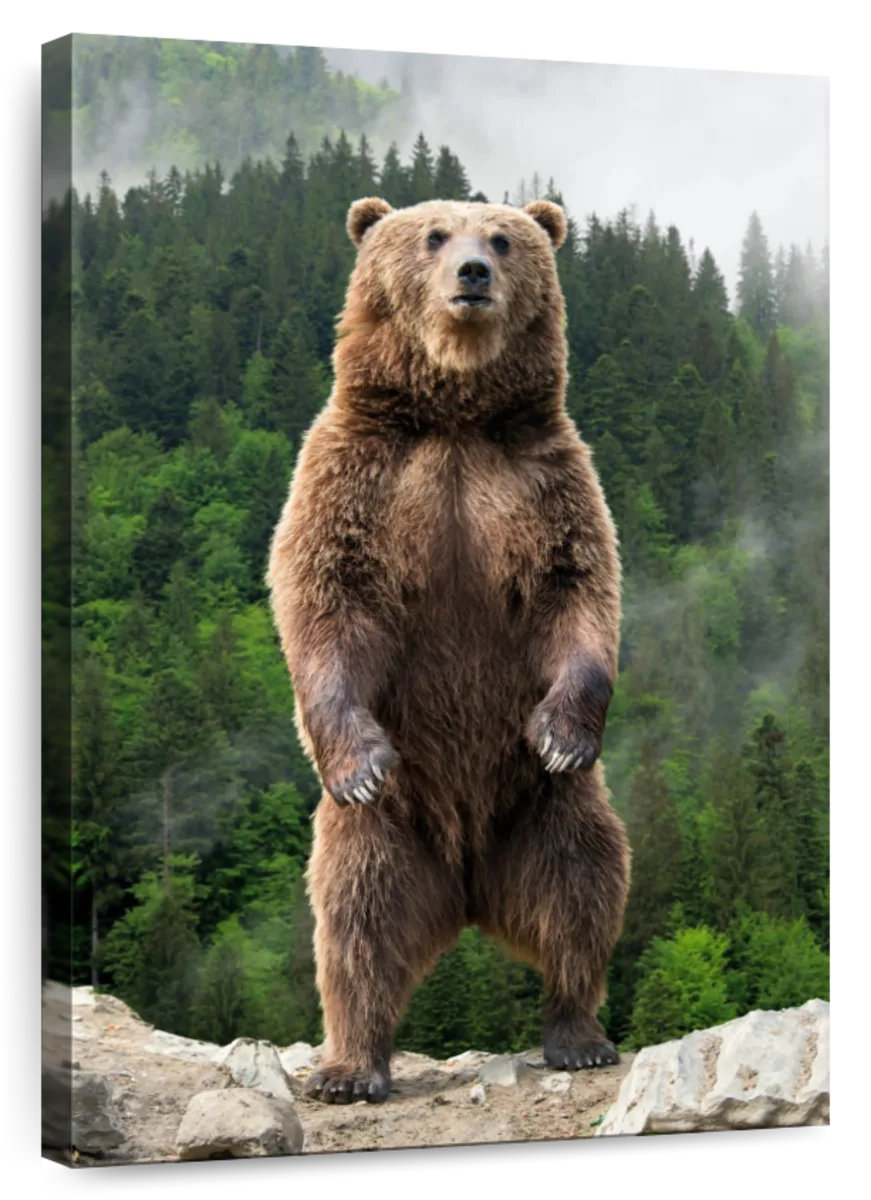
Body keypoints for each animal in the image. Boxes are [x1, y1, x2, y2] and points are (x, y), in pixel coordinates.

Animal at [267, 196, 630, 1105]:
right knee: (355, 924)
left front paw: (562, 731)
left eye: (502, 237)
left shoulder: (543, 480)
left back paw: (577, 1034)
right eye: (433, 235)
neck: (455, 415)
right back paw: (349, 1067)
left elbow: (578, 592)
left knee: (581, 888)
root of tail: (466, 888)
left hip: (543, 809)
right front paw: (358, 759)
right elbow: (324, 598)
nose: (472, 272)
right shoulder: (358, 477)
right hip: (386, 832)